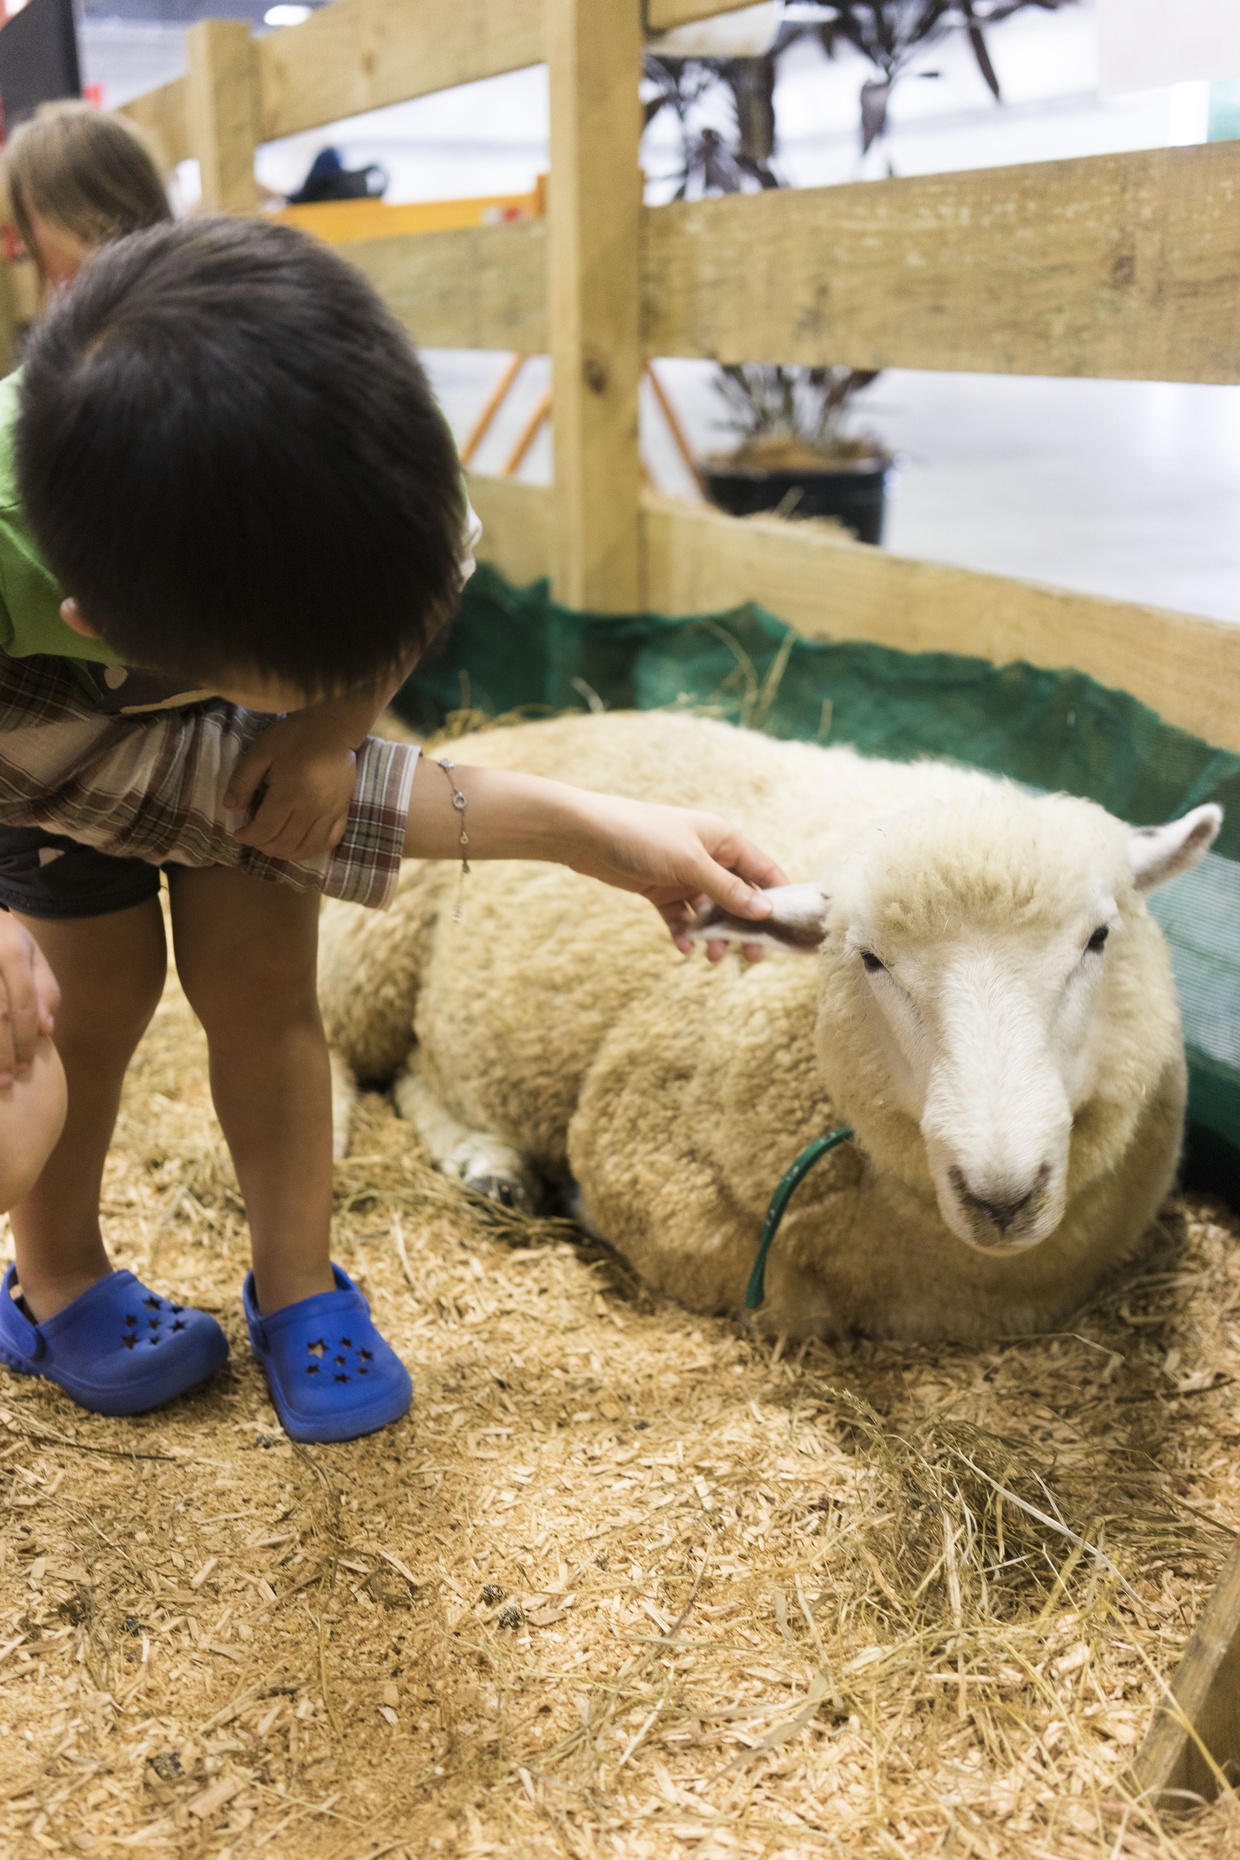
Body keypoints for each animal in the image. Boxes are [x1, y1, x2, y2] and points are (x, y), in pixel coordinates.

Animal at [318, 711, 1219, 1341]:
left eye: (1099, 937)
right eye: (870, 960)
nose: (1002, 1194)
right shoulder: (647, 1172)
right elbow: (784, 1300)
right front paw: (571, 1199)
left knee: (414, 1072)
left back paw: (488, 1161)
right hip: (365, 945)